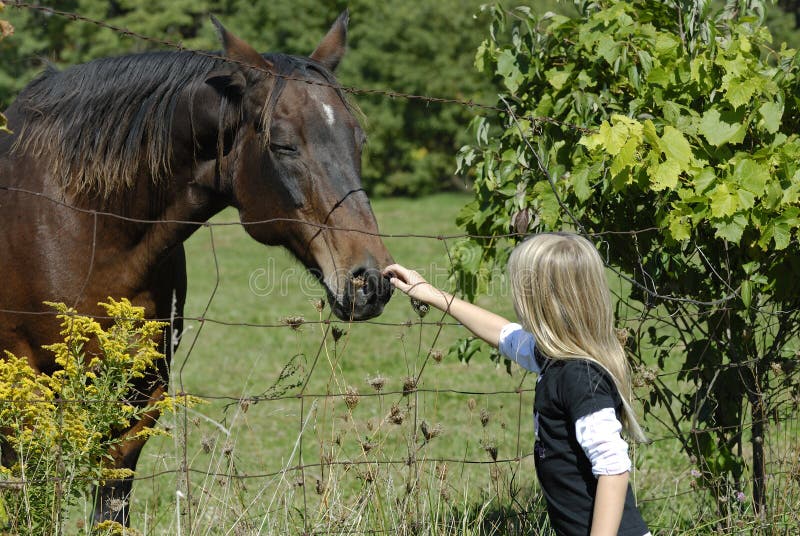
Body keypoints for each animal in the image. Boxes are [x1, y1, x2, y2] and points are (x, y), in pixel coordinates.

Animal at [0, 11, 393, 524]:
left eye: (359, 140)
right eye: (283, 146)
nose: (371, 281)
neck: (81, 219)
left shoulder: (143, 392)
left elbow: (111, 503)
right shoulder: (22, 388)